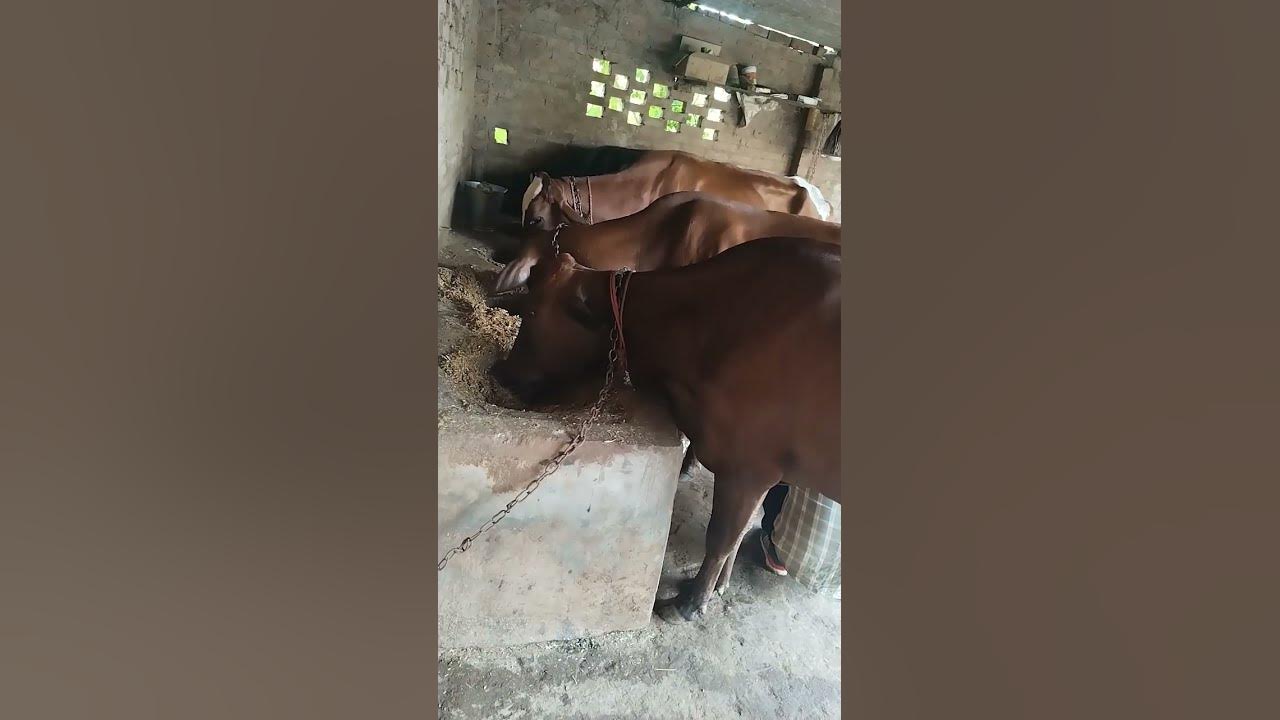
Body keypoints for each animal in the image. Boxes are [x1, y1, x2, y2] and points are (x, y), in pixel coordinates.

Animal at [489, 237, 841, 622]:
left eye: (532, 312)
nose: (500, 373)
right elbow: (742, 529)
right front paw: (721, 586)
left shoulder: (750, 466)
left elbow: (721, 537)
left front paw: (691, 603)